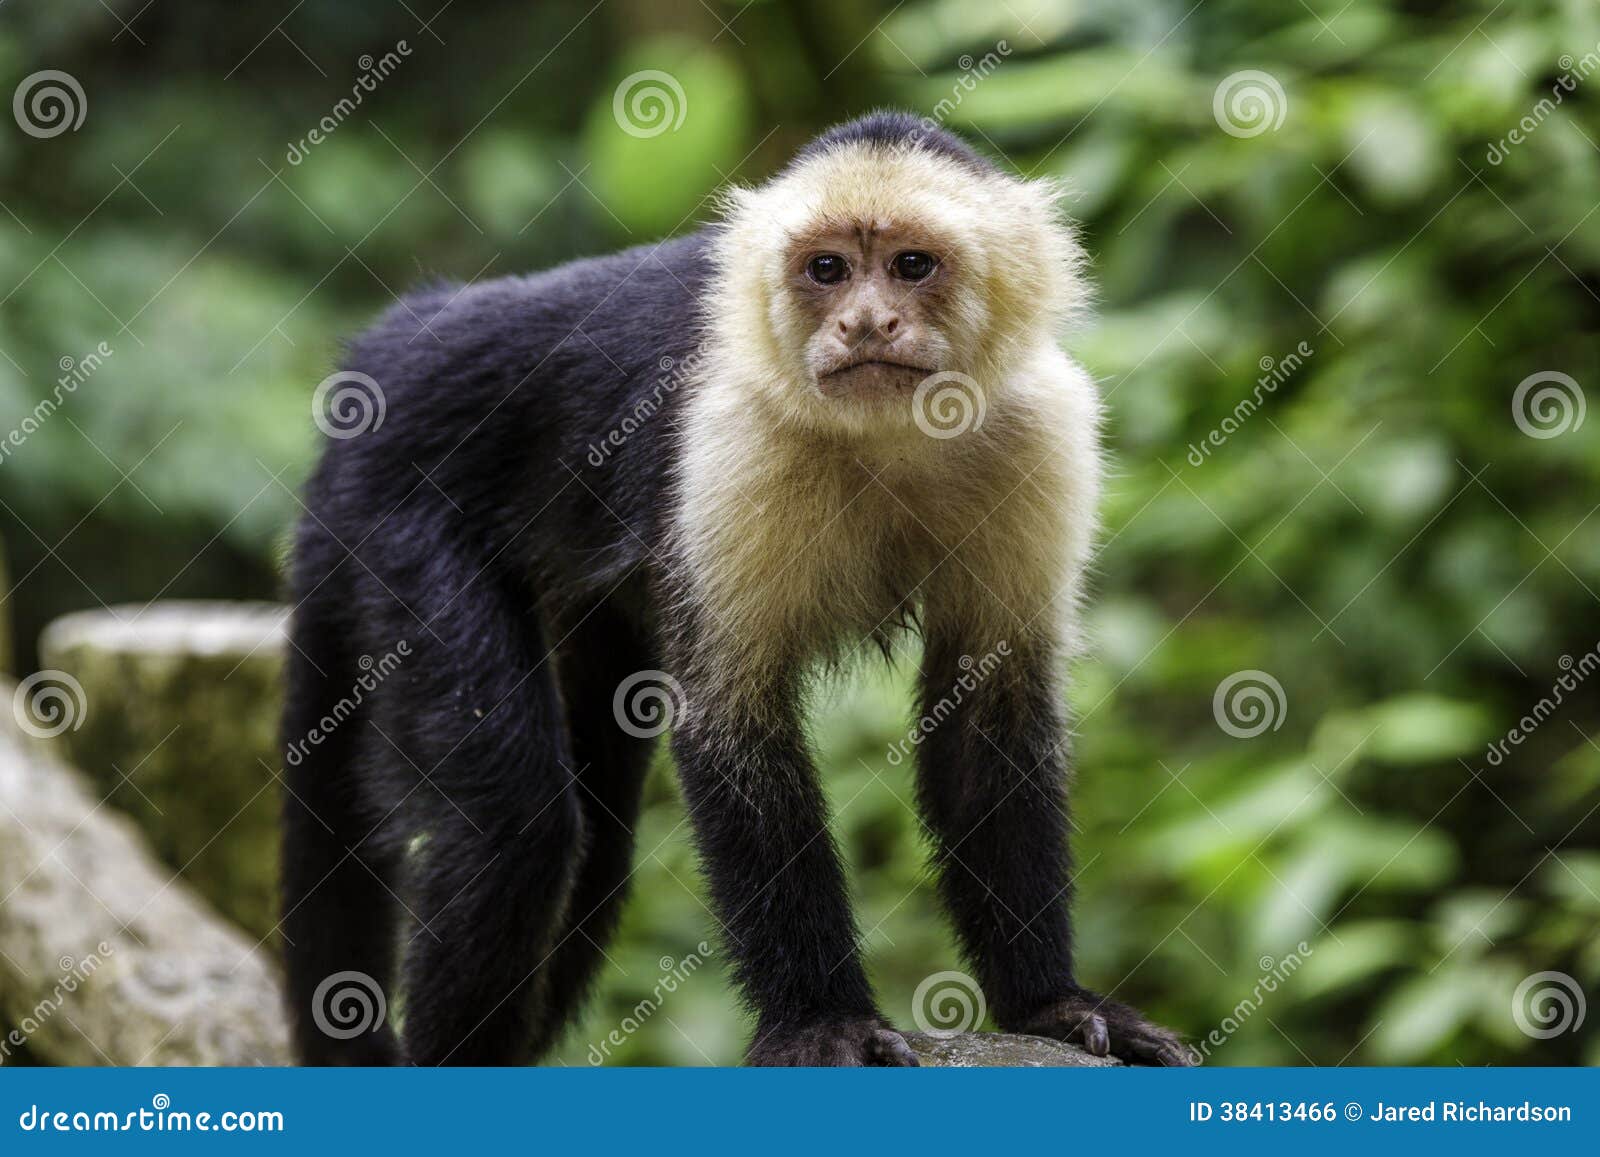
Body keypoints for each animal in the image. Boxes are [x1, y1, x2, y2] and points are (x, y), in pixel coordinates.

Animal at [280, 111, 1191, 1067]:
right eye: (827, 269)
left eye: (912, 264)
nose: (866, 321)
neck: (890, 435)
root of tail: (399, 340)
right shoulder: (729, 438)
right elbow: (730, 721)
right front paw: (822, 1020)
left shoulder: (1042, 430)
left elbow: (989, 719)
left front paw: (1047, 1002)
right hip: (396, 514)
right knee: (512, 826)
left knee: (595, 839)